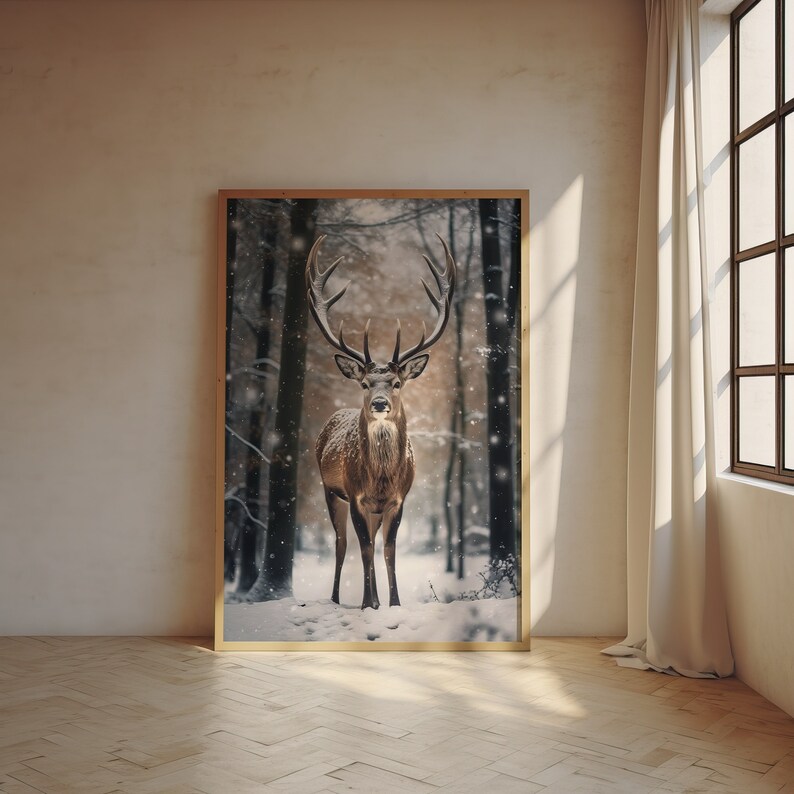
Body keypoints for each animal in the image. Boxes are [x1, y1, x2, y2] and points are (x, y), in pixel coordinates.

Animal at [305, 234, 456, 610]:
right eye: (364, 383)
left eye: (398, 382)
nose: (379, 403)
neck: (382, 478)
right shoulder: (356, 496)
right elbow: (364, 549)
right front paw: (367, 604)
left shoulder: (398, 500)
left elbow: (388, 551)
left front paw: (393, 604)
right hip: (330, 492)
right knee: (342, 545)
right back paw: (336, 598)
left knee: (371, 544)